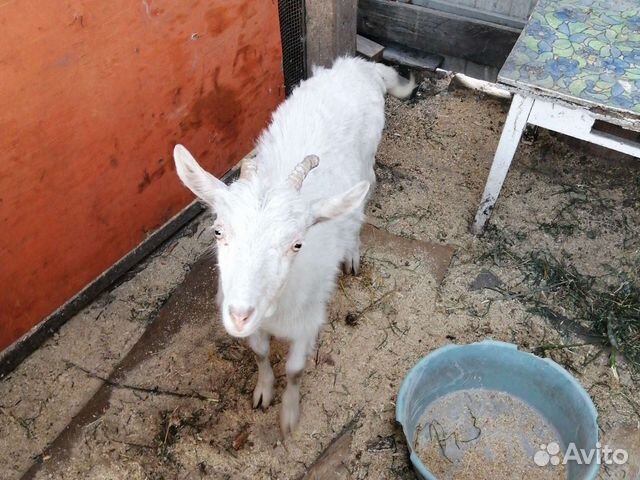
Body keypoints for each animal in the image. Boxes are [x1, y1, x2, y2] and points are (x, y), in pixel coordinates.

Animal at [173, 57, 415, 434]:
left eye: (297, 244)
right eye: (218, 232)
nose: (239, 315)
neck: (276, 308)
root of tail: (359, 65)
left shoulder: (308, 320)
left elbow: (296, 369)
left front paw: (288, 414)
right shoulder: (257, 328)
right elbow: (260, 354)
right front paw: (263, 392)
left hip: (367, 158)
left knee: (365, 194)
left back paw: (352, 252)